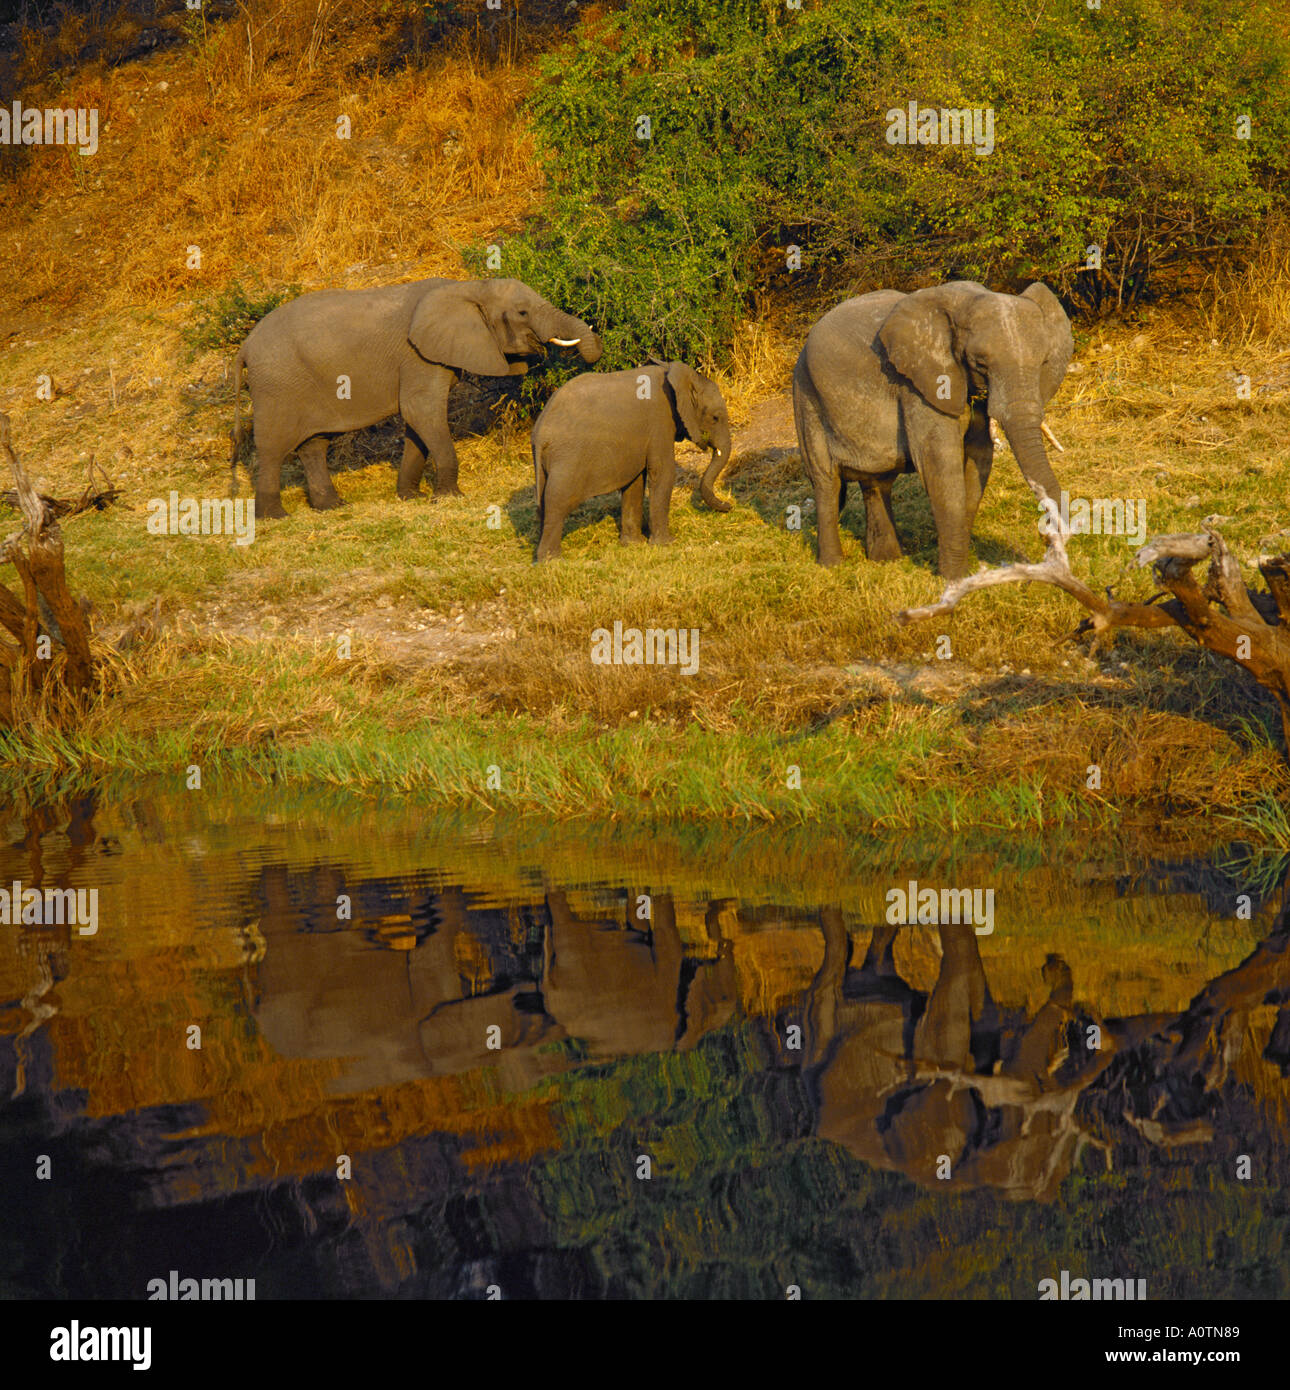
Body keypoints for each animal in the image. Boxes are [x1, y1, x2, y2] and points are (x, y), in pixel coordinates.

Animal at [229, 277, 602, 518]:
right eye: (522, 313)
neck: (468, 286)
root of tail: (244, 347)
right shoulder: (418, 356)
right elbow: (422, 411)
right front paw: (449, 497)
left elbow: (416, 422)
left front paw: (410, 497)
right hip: (276, 383)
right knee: (273, 446)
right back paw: (275, 516)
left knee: (314, 444)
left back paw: (332, 507)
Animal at [530, 361, 733, 561]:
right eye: (715, 418)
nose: (729, 505)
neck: (673, 373)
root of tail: (540, 432)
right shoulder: (660, 421)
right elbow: (663, 472)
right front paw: (667, 544)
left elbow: (635, 481)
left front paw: (633, 545)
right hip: (568, 458)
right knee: (557, 500)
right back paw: (552, 561)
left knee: (544, 503)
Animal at [792, 280, 1074, 578]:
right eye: (980, 364)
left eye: (1043, 363)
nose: (1046, 536)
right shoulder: (919, 386)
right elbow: (940, 466)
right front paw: (955, 578)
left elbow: (978, 461)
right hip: (805, 396)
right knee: (826, 481)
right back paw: (832, 566)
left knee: (878, 481)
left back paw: (886, 561)